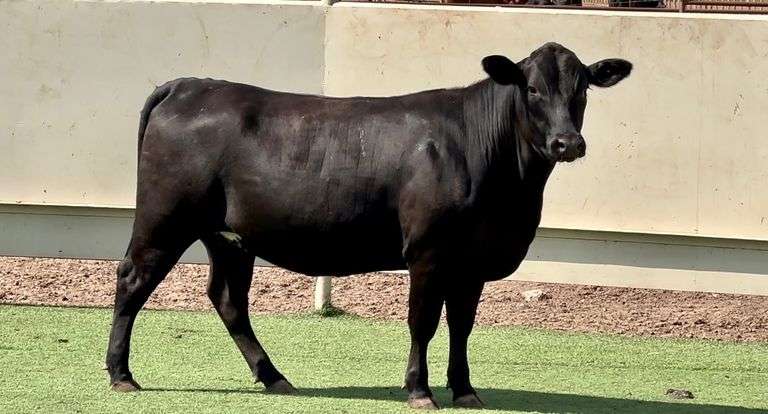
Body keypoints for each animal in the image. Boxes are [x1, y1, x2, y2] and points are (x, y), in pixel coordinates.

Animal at [106, 42, 631, 409]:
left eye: (581, 89)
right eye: (533, 88)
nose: (567, 142)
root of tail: (190, 84)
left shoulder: (473, 261)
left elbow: (461, 325)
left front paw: (465, 390)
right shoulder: (428, 251)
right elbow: (423, 321)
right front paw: (419, 390)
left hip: (230, 237)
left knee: (229, 299)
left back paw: (275, 377)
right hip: (165, 217)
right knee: (133, 279)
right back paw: (121, 375)